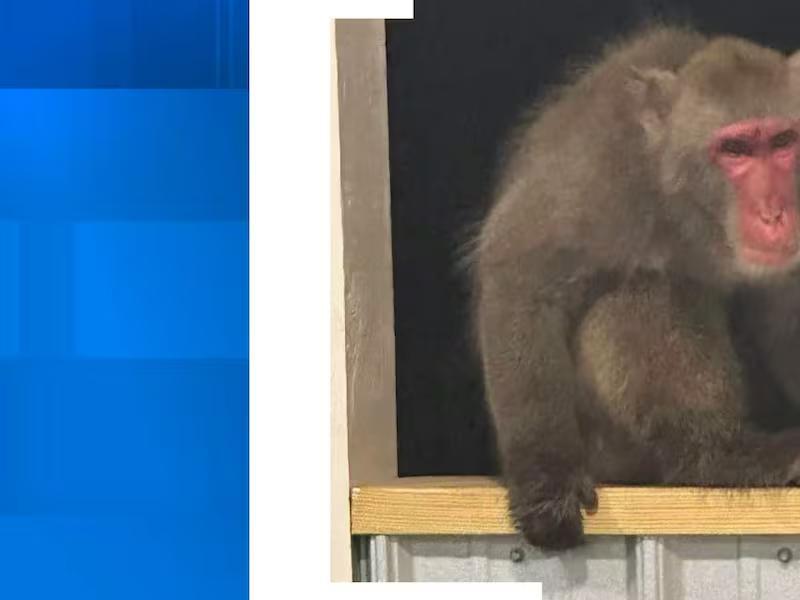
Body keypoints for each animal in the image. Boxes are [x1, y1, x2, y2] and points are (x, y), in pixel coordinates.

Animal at [470, 25, 800, 551]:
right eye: (735, 149)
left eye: (783, 140)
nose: (775, 213)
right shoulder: (597, 170)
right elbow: (519, 273)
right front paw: (545, 482)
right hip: (608, 447)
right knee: (648, 289)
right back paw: (716, 456)